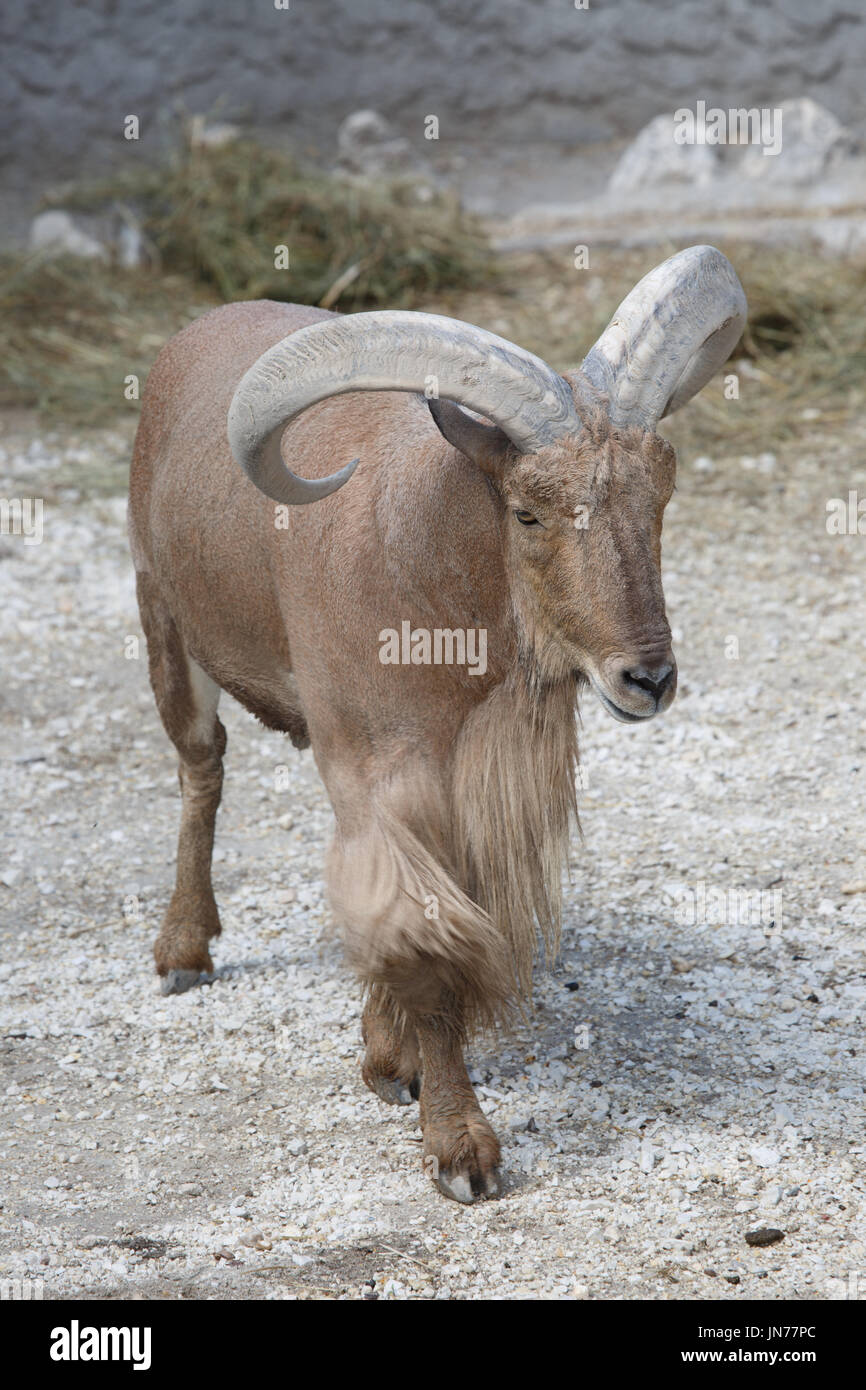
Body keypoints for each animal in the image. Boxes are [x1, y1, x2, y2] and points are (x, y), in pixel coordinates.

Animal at [128, 244, 746, 1202]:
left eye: (660, 501)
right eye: (528, 510)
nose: (647, 678)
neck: (434, 582)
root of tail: (193, 335)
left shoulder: (459, 783)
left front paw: (392, 1060)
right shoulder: (378, 766)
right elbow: (423, 937)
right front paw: (461, 1150)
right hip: (163, 615)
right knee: (203, 767)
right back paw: (184, 951)